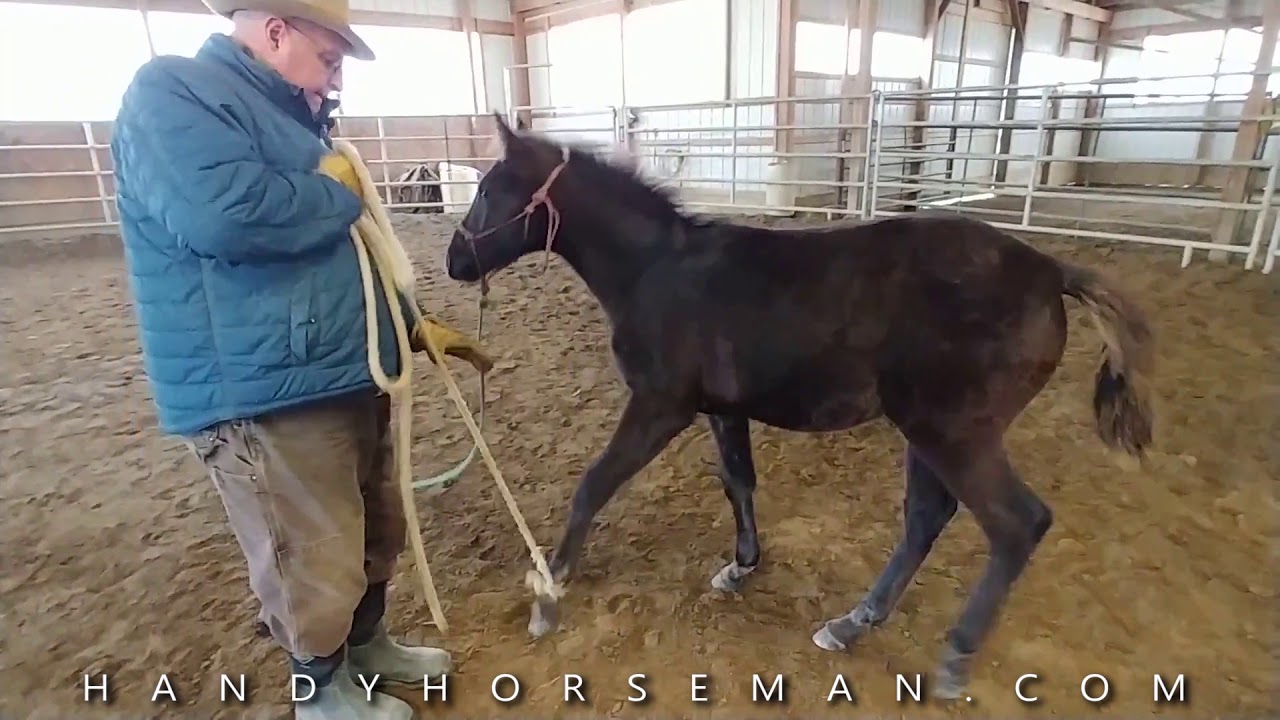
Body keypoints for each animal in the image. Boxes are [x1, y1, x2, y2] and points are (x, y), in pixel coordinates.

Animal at [444, 114, 1156, 699]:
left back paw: (953, 659)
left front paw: (549, 589)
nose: (454, 260)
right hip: (932, 432)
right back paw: (851, 624)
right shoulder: (722, 407)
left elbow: (594, 483)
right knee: (928, 517)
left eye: (488, 190)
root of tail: (1049, 271)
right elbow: (738, 481)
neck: (657, 271)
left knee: (1015, 524)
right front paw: (740, 567)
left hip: (953, 432)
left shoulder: (659, 405)